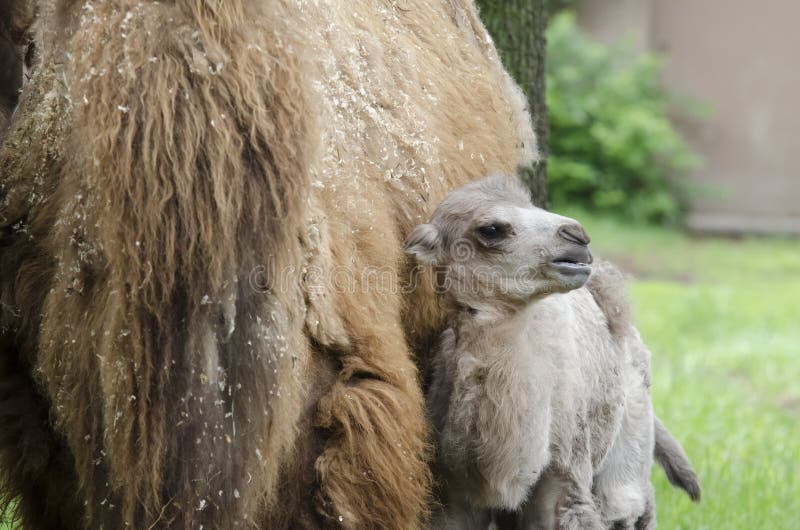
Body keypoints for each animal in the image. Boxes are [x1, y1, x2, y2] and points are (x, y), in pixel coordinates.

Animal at [406, 174, 700, 529]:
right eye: (491, 229)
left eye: (535, 205)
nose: (578, 236)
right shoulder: (451, 492)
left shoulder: (565, 476)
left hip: (633, 424)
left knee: (628, 502)